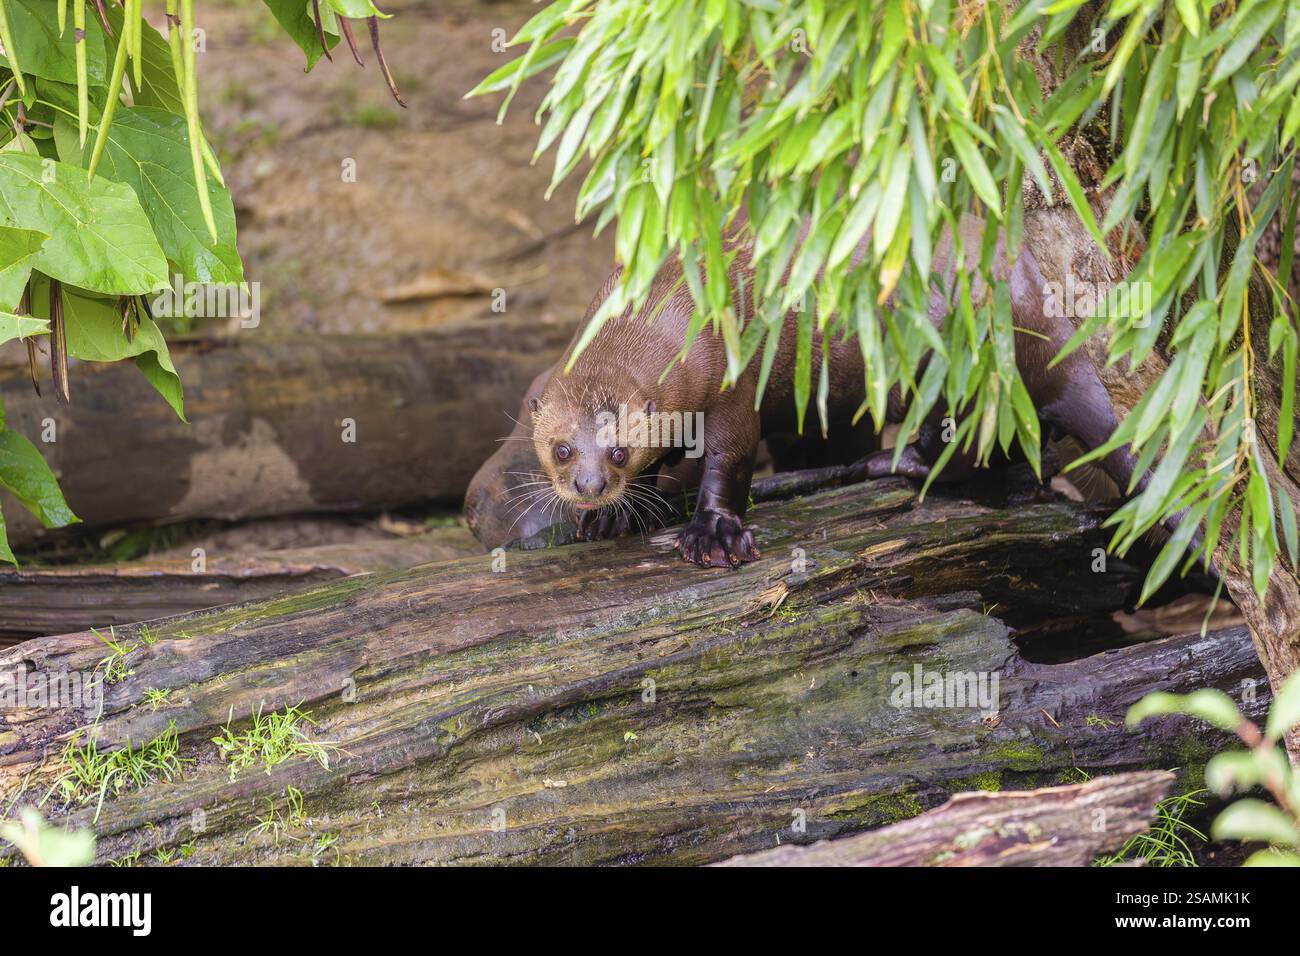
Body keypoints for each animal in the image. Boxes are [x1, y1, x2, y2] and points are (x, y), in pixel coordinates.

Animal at [526, 216, 1139, 568]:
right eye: (561, 449)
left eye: (617, 451)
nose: (588, 486)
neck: (671, 303)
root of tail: (1051, 330)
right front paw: (613, 517)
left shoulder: (731, 381)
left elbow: (731, 455)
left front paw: (714, 534)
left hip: (961, 364)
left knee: (960, 447)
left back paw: (888, 463)